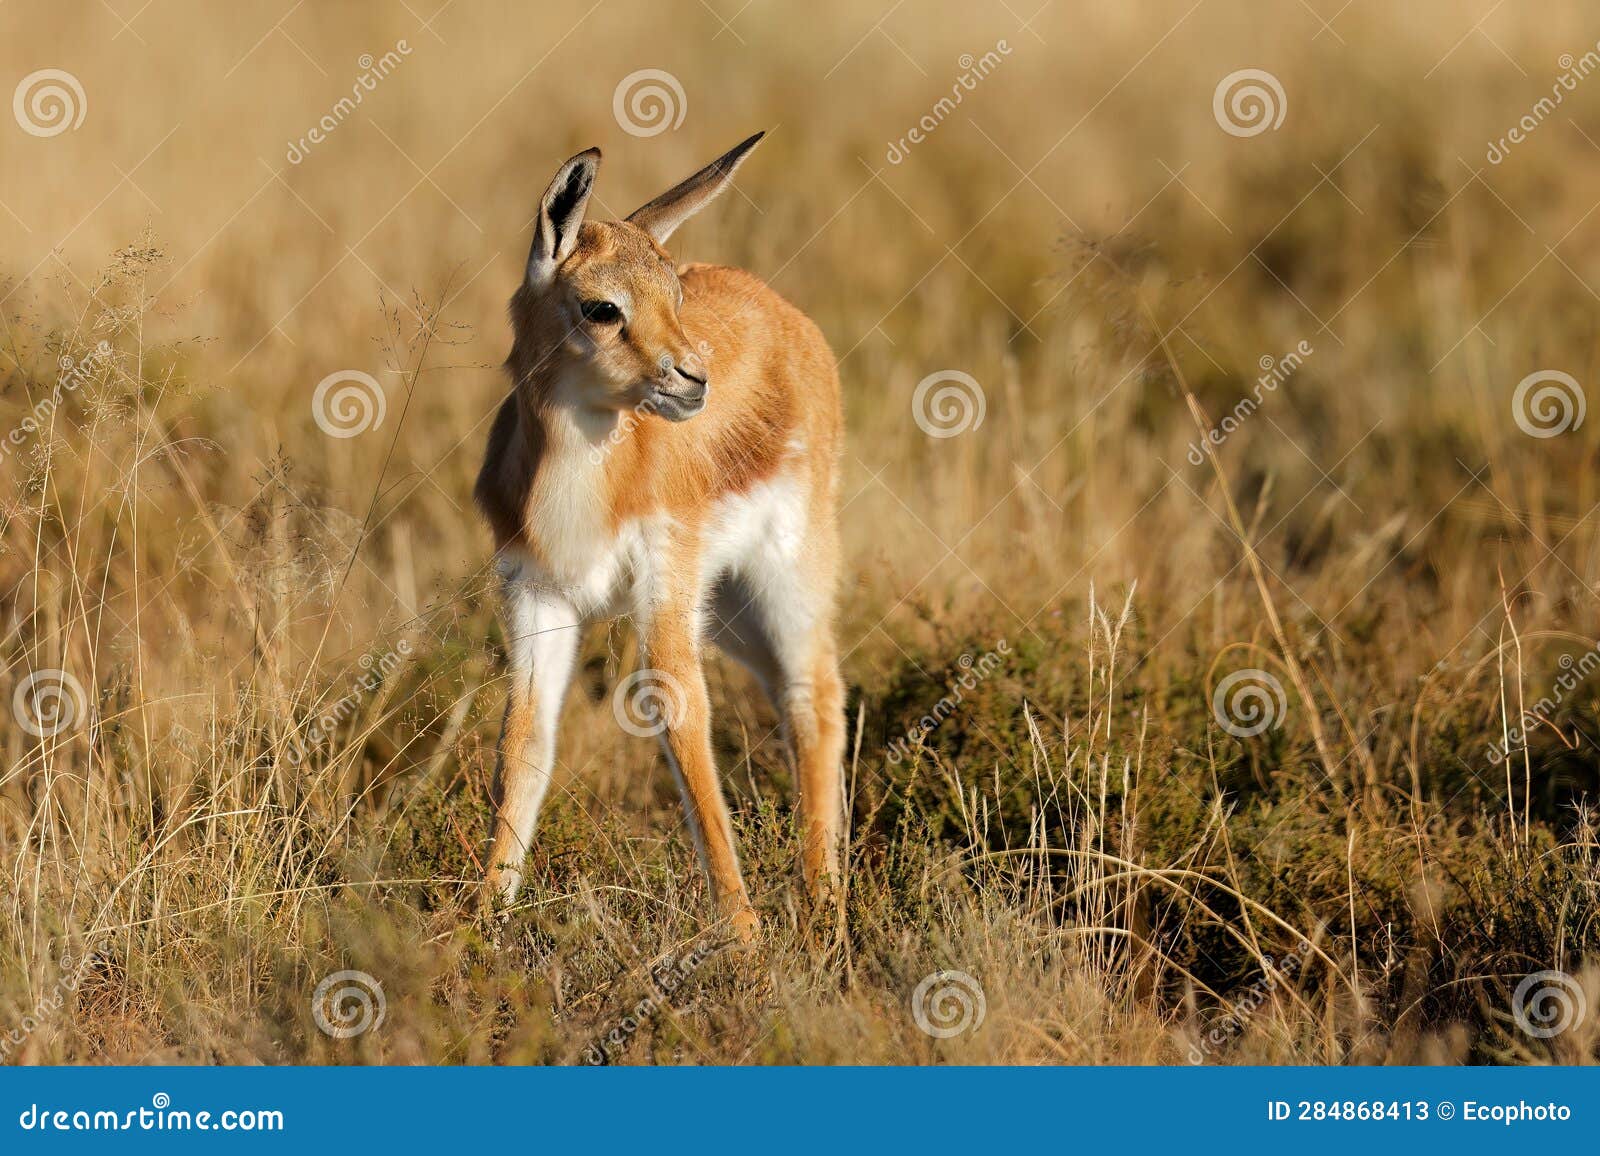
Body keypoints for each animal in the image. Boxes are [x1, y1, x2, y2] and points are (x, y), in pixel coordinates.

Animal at [475, 133, 845, 943]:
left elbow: (683, 723)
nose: (691, 380)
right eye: (601, 307)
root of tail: (780, 309)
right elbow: (523, 743)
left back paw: (824, 907)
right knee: (789, 691)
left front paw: (745, 942)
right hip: (730, 610)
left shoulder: (661, 591)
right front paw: (477, 922)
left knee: (816, 695)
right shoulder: (536, 596)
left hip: (785, 577)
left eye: (672, 295)